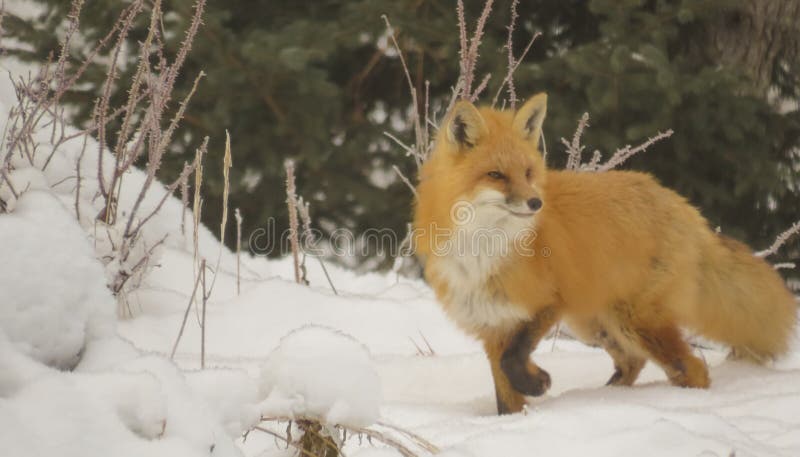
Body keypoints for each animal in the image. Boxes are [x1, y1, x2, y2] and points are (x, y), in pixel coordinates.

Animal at [412, 93, 798, 415]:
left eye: (528, 172)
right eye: (495, 175)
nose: (536, 203)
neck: (483, 250)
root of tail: (683, 206)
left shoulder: (545, 304)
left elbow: (513, 361)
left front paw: (539, 382)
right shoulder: (491, 323)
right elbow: (506, 394)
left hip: (635, 322)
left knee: (691, 368)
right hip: (596, 325)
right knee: (633, 363)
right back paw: (607, 398)